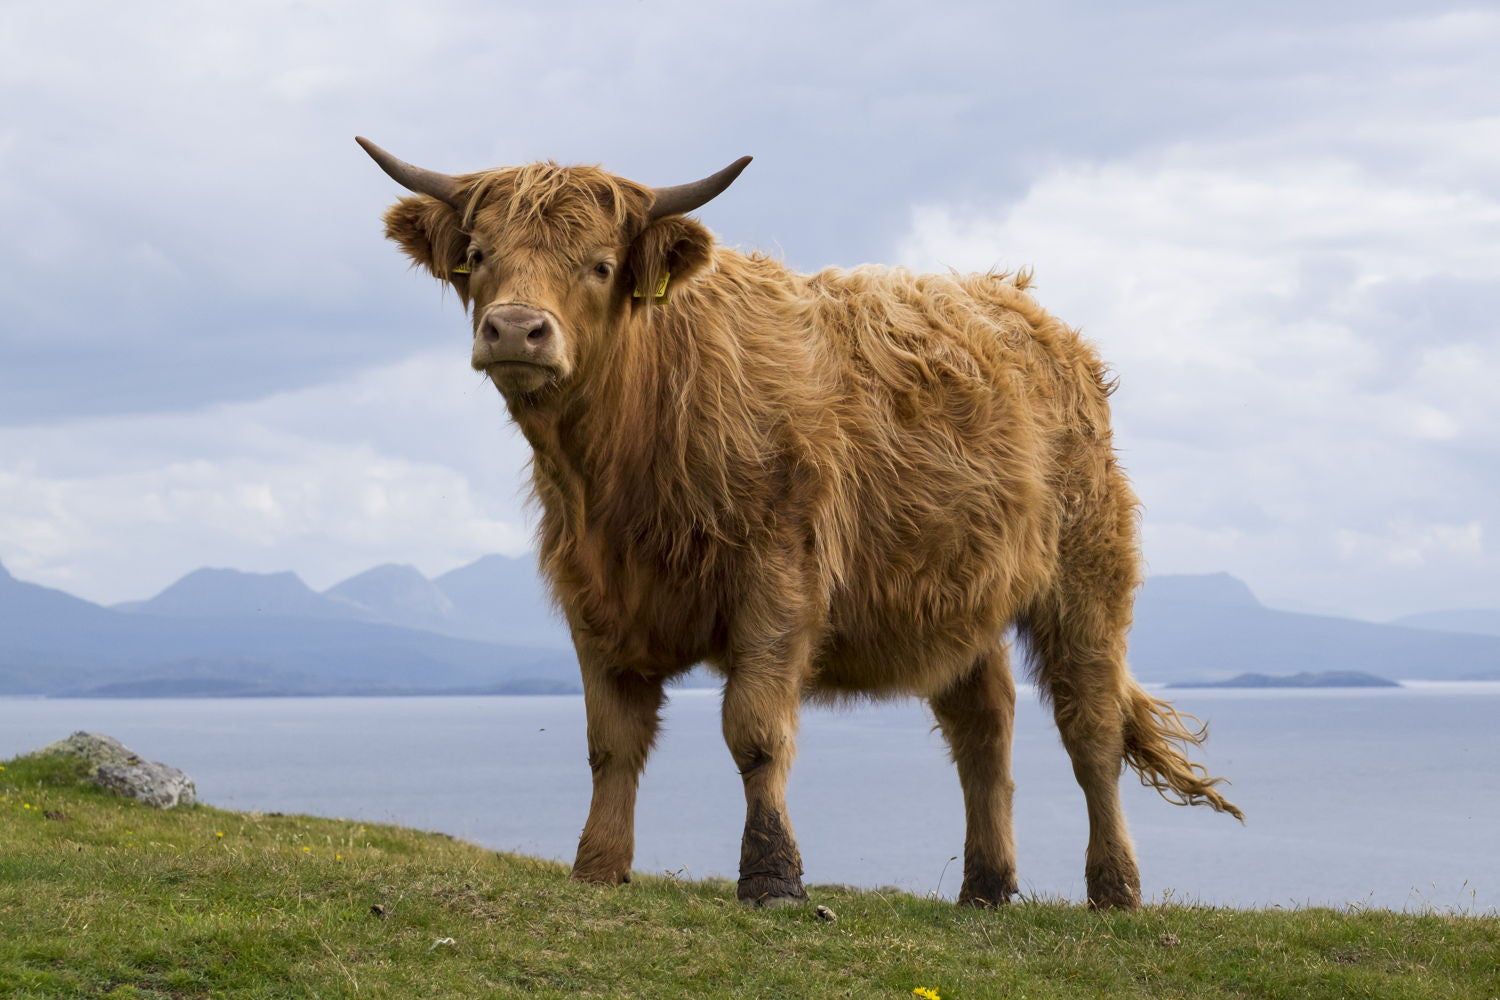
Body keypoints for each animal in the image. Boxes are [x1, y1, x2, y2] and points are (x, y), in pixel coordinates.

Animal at [357, 137, 1240, 910]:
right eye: (477, 256)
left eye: (601, 266)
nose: (515, 328)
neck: (616, 473)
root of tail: (1028, 310)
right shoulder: (593, 596)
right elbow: (612, 740)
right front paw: (598, 868)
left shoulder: (779, 579)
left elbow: (754, 731)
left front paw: (772, 879)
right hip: (958, 594)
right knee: (985, 723)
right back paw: (986, 888)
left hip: (1085, 576)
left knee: (1091, 728)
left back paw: (1114, 891)